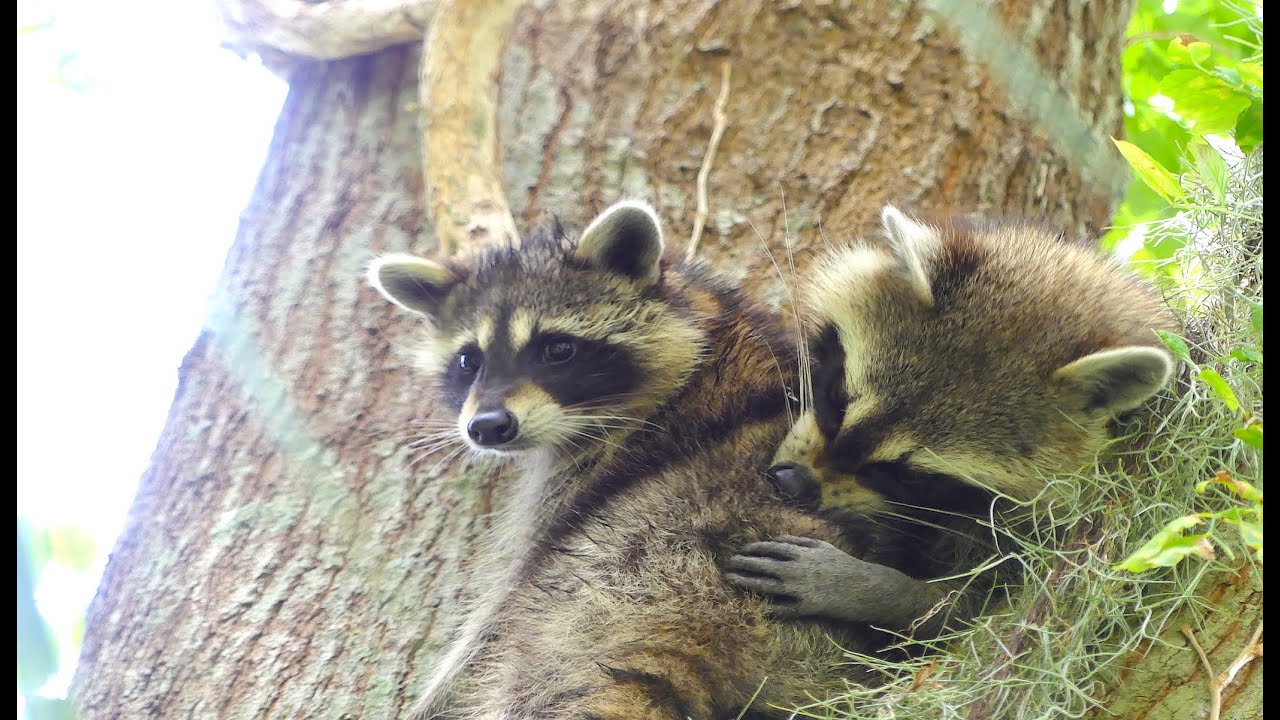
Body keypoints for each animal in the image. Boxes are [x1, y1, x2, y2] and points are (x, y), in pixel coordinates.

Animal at [370, 201, 881, 719]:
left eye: (557, 348)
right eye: (468, 361)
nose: (489, 427)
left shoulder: (587, 469)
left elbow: (497, 608)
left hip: (588, 590)